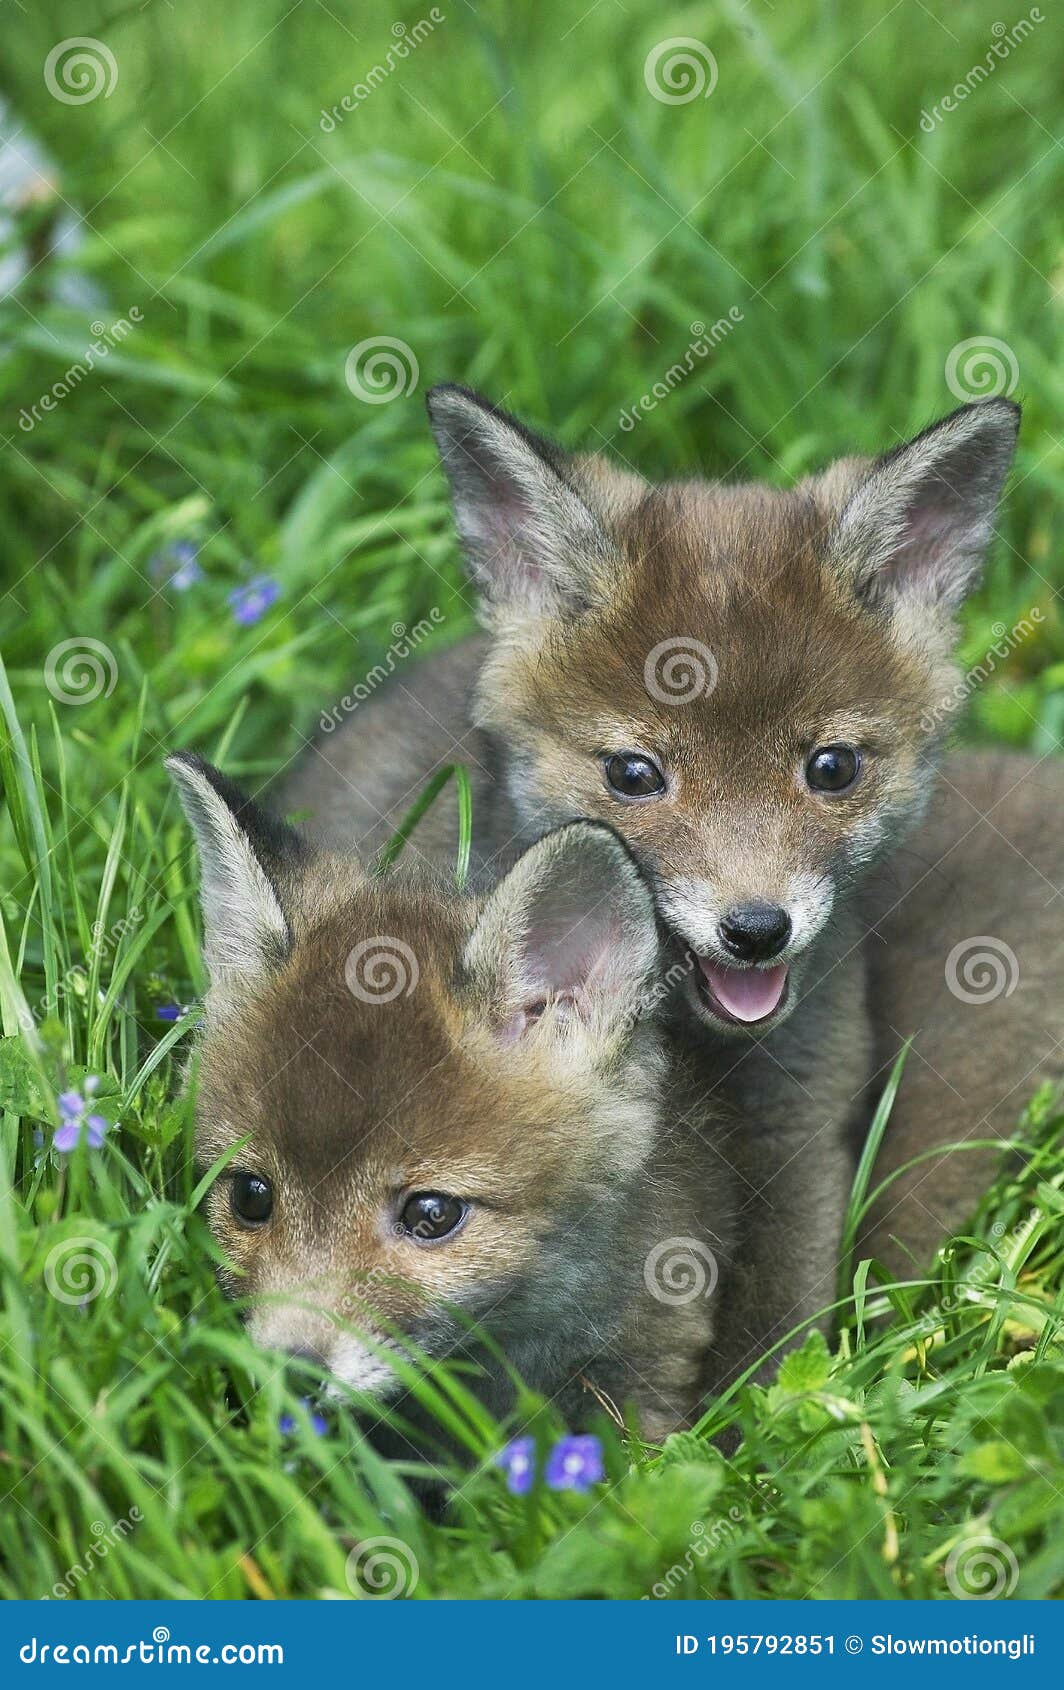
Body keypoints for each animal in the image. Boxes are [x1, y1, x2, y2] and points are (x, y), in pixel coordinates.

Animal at [283, 386, 1063, 1379]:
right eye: (634, 775)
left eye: (833, 767)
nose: (756, 929)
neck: (700, 1054)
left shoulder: (796, 1137)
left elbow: (774, 1348)